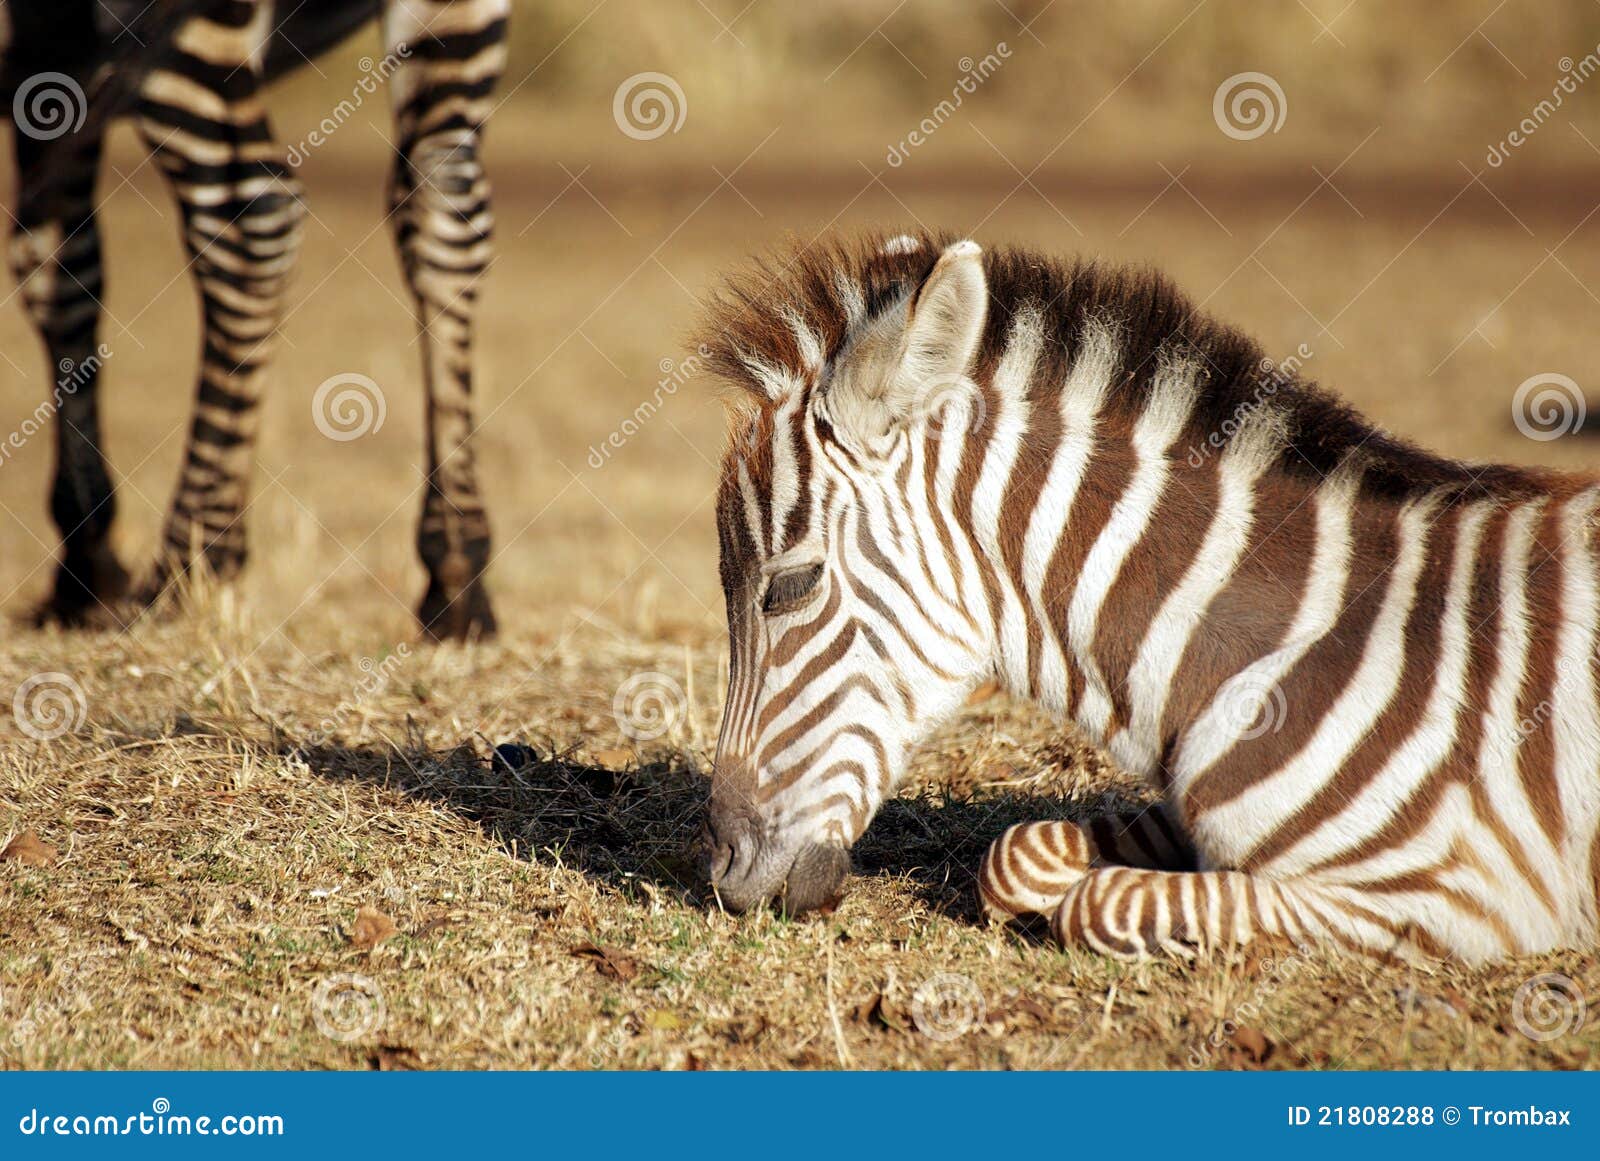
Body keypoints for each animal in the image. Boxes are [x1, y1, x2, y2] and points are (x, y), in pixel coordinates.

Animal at [0, 0, 508, 639]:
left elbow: (58, 270)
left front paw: (89, 566)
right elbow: (59, 264)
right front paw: (84, 565)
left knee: (251, 215)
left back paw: (186, 570)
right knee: (443, 203)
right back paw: (458, 580)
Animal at [697, 230, 1600, 963]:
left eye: (791, 587)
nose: (726, 877)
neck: (1278, 640)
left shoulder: (1456, 894)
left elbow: (1101, 899)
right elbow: (1016, 853)